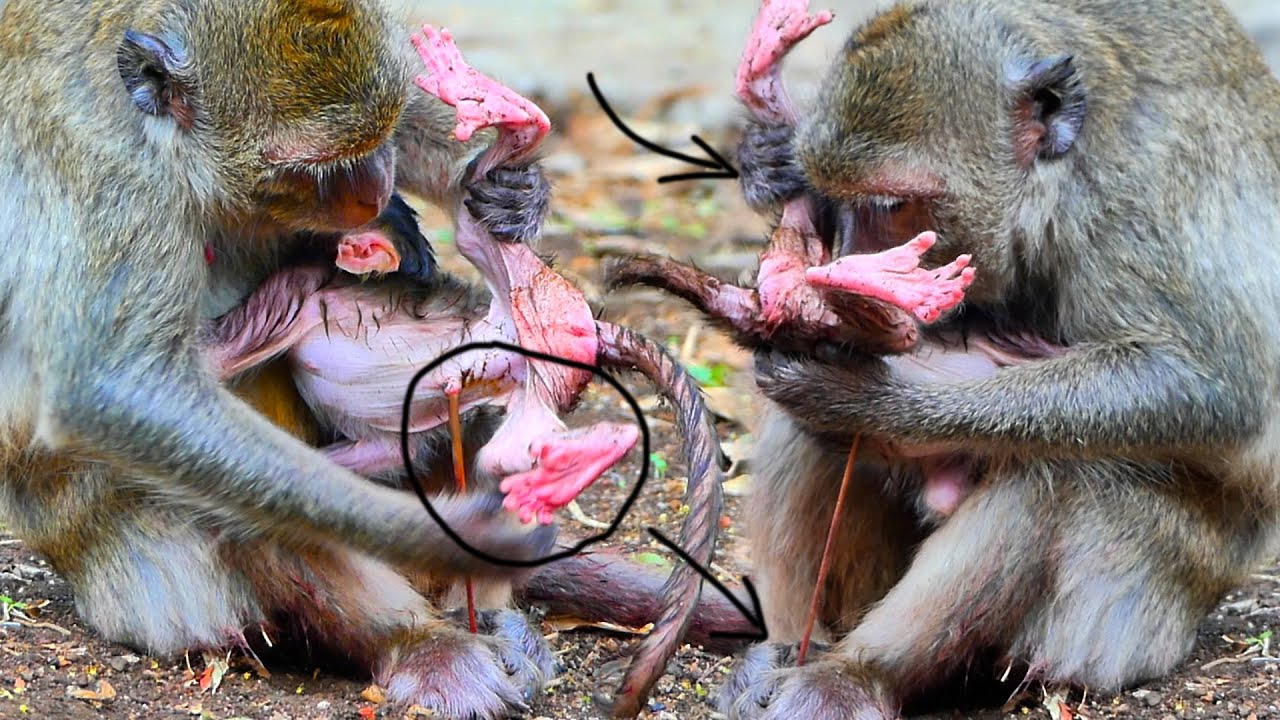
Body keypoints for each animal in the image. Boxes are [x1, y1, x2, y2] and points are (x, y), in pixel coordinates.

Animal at [0, 1, 569, 717]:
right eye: (316, 169)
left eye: (378, 141)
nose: (376, 186)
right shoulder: (108, 174)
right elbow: (112, 392)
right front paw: (442, 534)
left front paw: (512, 187)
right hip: (118, 551)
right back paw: (420, 642)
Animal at [706, 1, 1280, 718]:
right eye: (837, 198)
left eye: (893, 206)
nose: (847, 268)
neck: (1059, 179)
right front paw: (769, 164)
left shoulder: (1138, 201)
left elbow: (1212, 388)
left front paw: (879, 403)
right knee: (806, 429)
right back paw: (790, 650)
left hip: (1148, 592)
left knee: (1049, 467)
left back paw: (857, 676)